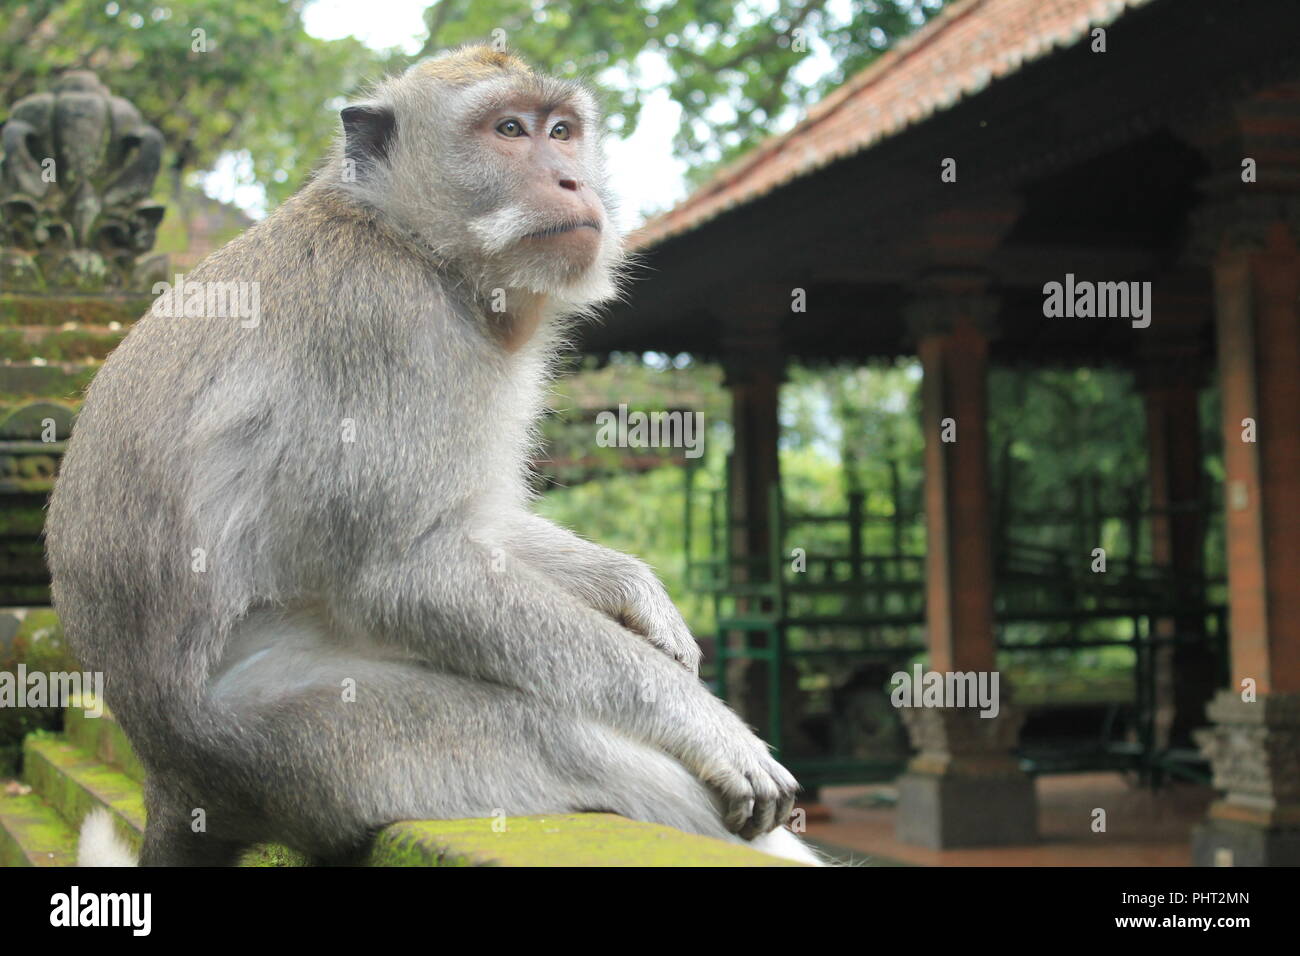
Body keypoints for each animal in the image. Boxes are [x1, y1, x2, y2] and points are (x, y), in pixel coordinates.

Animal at [45, 45, 820, 867]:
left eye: (563, 131)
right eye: (509, 130)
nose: (572, 180)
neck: (411, 242)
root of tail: (167, 771)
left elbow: (477, 524)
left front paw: (634, 590)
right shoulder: (385, 326)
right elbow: (404, 570)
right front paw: (704, 722)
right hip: (326, 743)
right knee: (573, 741)